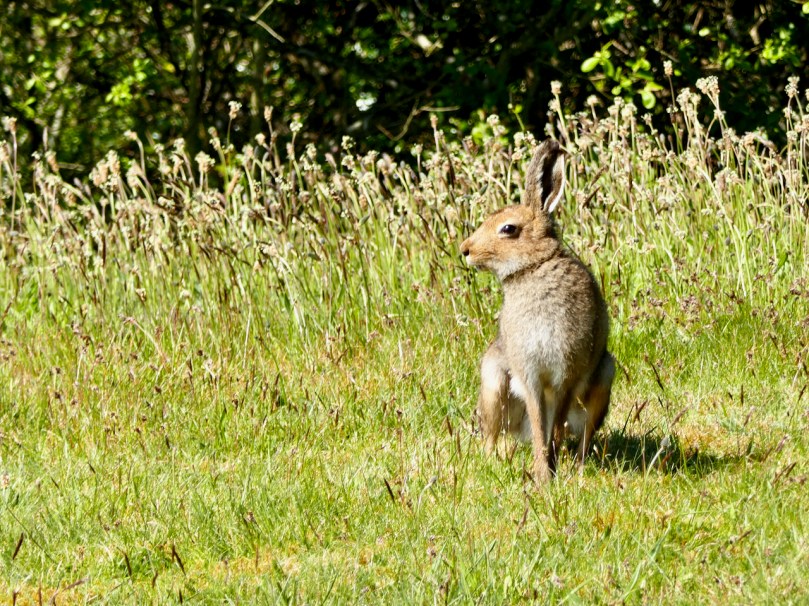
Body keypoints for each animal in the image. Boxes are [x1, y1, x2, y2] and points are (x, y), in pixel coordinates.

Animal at [461, 139, 615, 483]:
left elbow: (553, 426)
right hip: (493, 385)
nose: (465, 250)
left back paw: (577, 468)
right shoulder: (528, 371)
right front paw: (543, 473)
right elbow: (539, 419)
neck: (535, 266)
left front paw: (548, 472)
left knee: (582, 435)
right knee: (492, 435)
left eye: (508, 229)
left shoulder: (568, 372)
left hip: (604, 376)